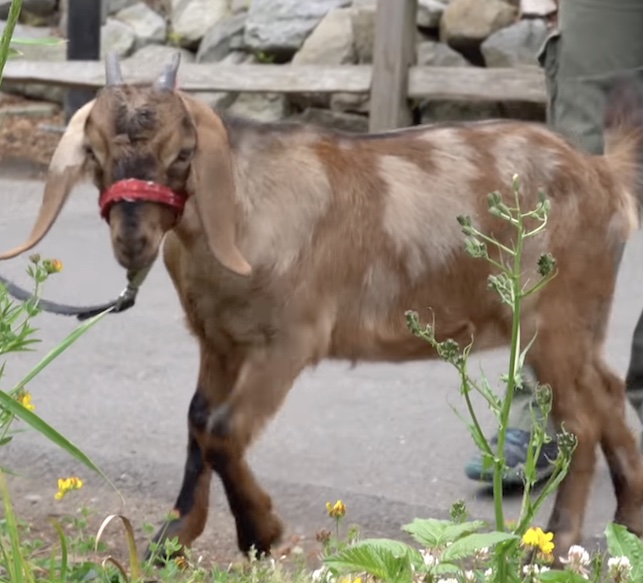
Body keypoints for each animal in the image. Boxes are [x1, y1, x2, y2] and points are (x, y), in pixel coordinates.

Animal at [2, 51, 643, 566]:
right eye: (94, 153)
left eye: (183, 154)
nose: (133, 242)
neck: (242, 208)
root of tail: (604, 175)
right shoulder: (219, 339)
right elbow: (196, 421)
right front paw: (171, 537)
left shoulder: (288, 339)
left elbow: (222, 428)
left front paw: (260, 534)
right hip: (574, 323)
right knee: (607, 394)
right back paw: (627, 523)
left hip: (551, 318)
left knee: (580, 421)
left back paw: (556, 545)